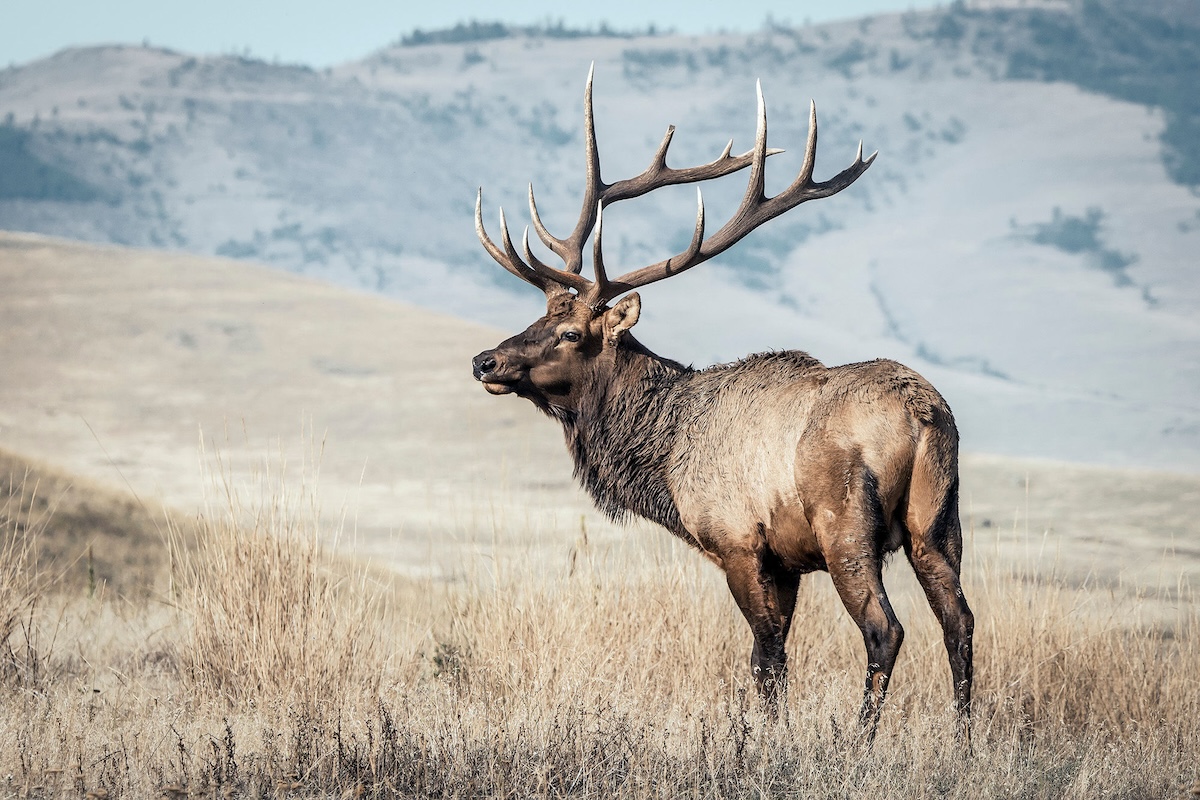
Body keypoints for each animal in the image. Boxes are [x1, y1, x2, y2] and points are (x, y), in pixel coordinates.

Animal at [470, 68, 974, 740]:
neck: (663, 456)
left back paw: (857, 742)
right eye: (536, 318)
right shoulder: (785, 561)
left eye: (571, 333)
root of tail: (923, 416)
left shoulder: (737, 541)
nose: (485, 361)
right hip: (938, 521)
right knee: (960, 622)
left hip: (846, 524)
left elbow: (766, 656)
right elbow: (773, 656)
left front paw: (763, 741)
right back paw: (965, 739)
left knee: (884, 629)